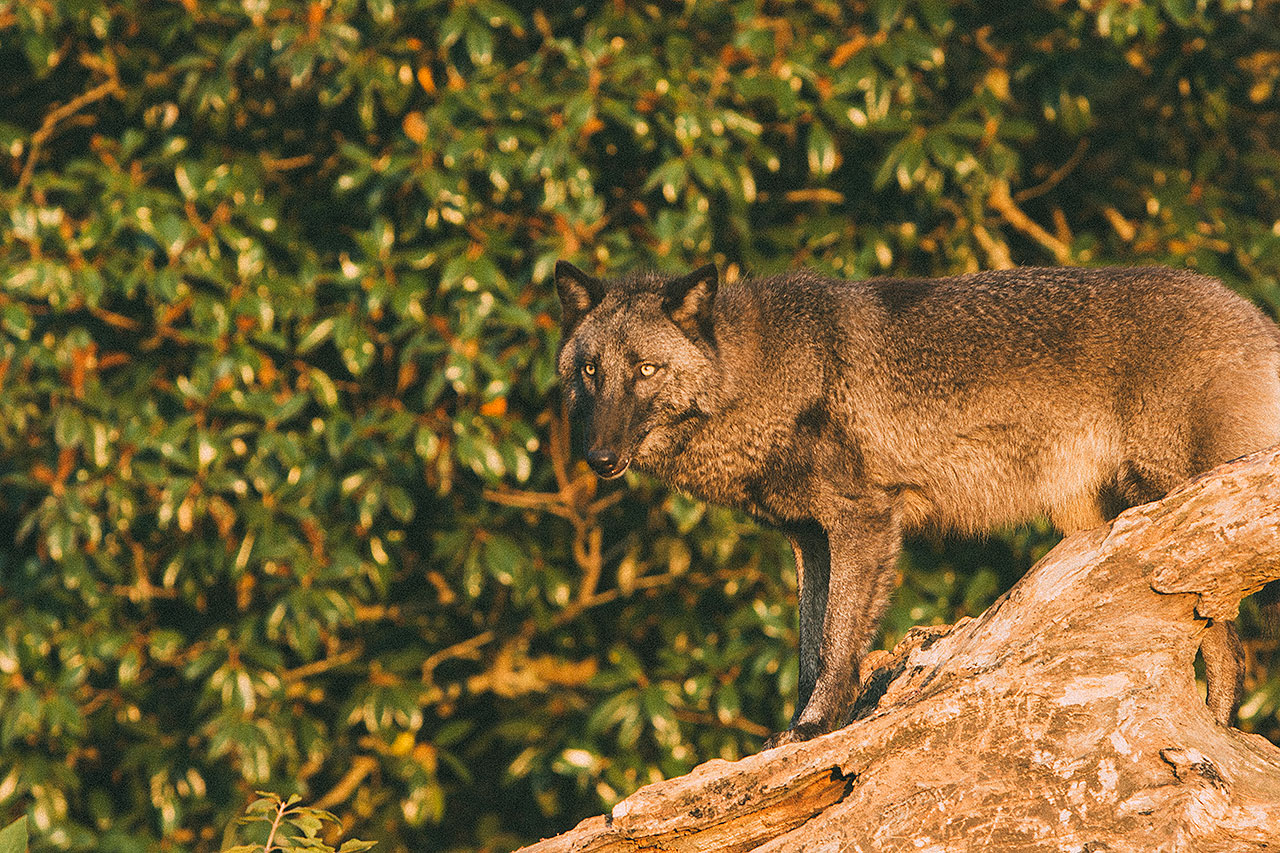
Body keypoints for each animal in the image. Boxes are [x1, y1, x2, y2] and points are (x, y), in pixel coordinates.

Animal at [555, 261, 1280, 747]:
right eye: (591, 371)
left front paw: (816, 728)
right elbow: (809, 648)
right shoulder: (809, 539)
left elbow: (837, 643)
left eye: (646, 370)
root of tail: (1255, 316)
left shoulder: (864, 523)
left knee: (1229, 649)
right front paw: (797, 732)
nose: (599, 458)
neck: (764, 376)